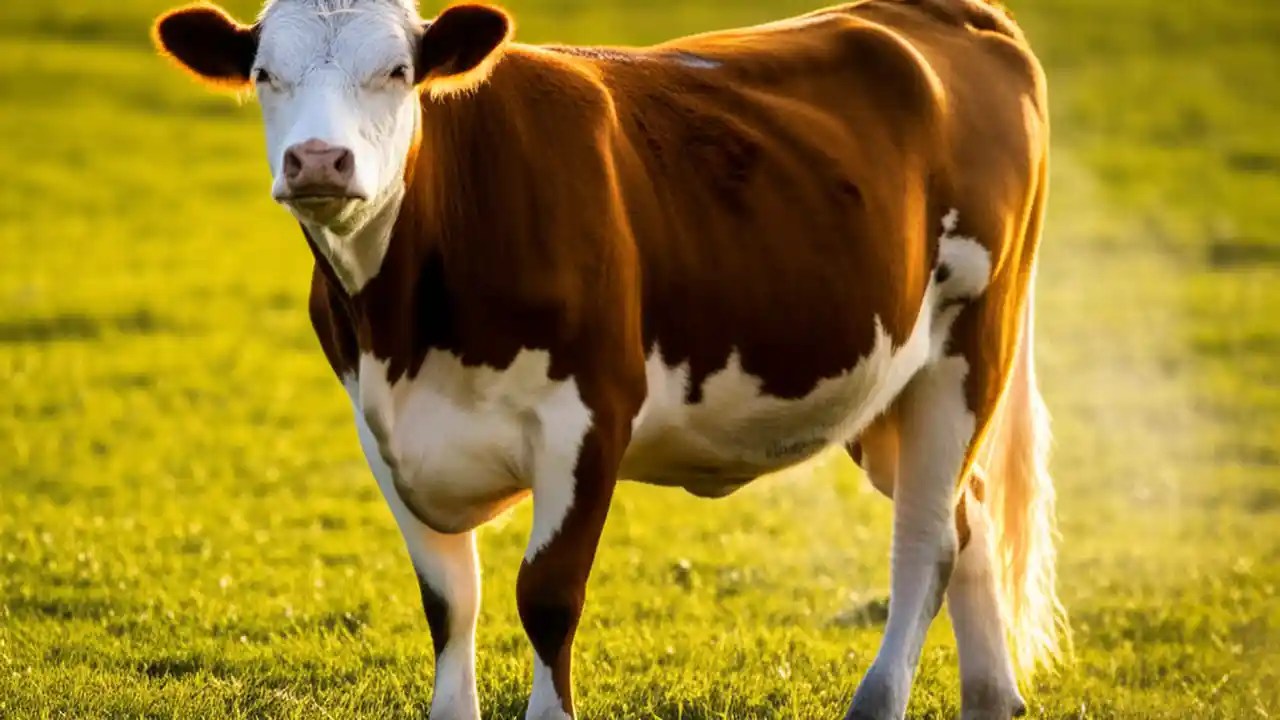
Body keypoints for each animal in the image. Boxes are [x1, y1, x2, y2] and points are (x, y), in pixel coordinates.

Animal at [151, 0, 1066, 717]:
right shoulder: (383, 430)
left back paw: (878, 700)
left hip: (967, 349)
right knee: (966, 513)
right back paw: (991, 696)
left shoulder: (589, 415)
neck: (404, 322)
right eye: (266, 73)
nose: (317, 160)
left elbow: (547, 596)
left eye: (398, 71)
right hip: (884, 394)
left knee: (926, 541)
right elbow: (449, 603)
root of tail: (951, 14)